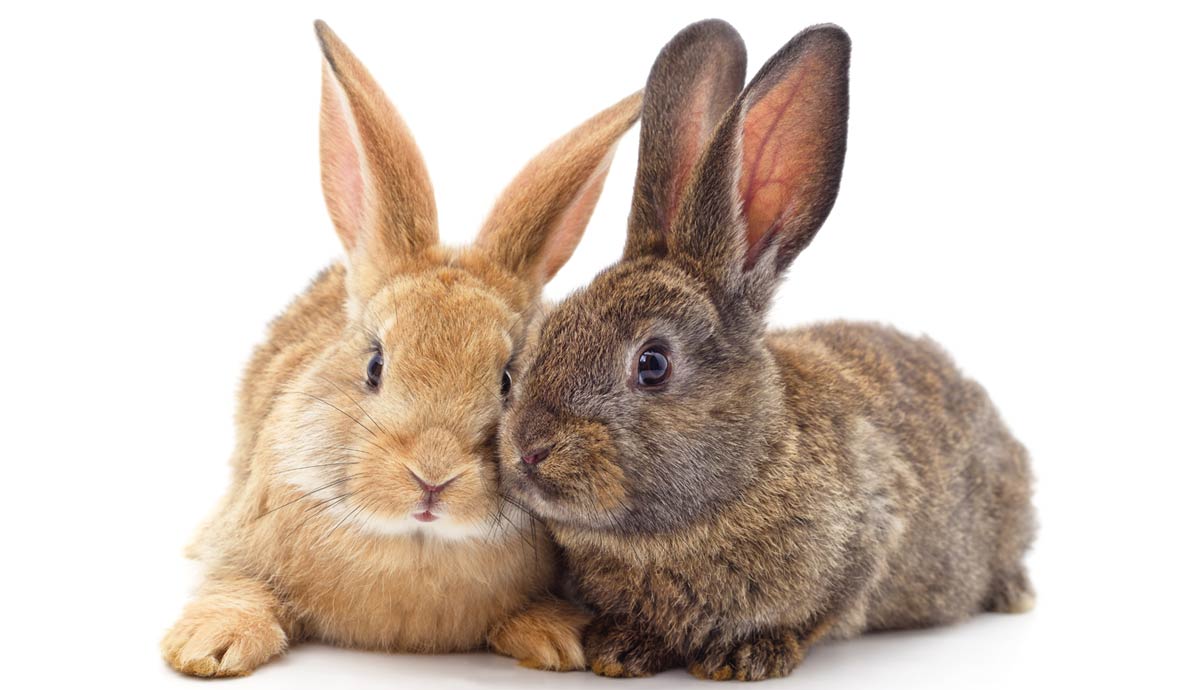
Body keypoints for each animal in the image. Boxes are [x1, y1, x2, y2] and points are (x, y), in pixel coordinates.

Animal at [160, 20, 641, 678]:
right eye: (375, 364)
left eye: (508, 380)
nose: (432, 477)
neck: (417, 543)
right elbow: (237, 587)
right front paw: (208, 647)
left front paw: (556, 638)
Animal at [497, 19, 1036, 681]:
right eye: (537, 346)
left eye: (652, 364)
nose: (529, 447)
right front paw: (622, 650)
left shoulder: (866, 542)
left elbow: (819, 613)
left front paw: (745, 656)